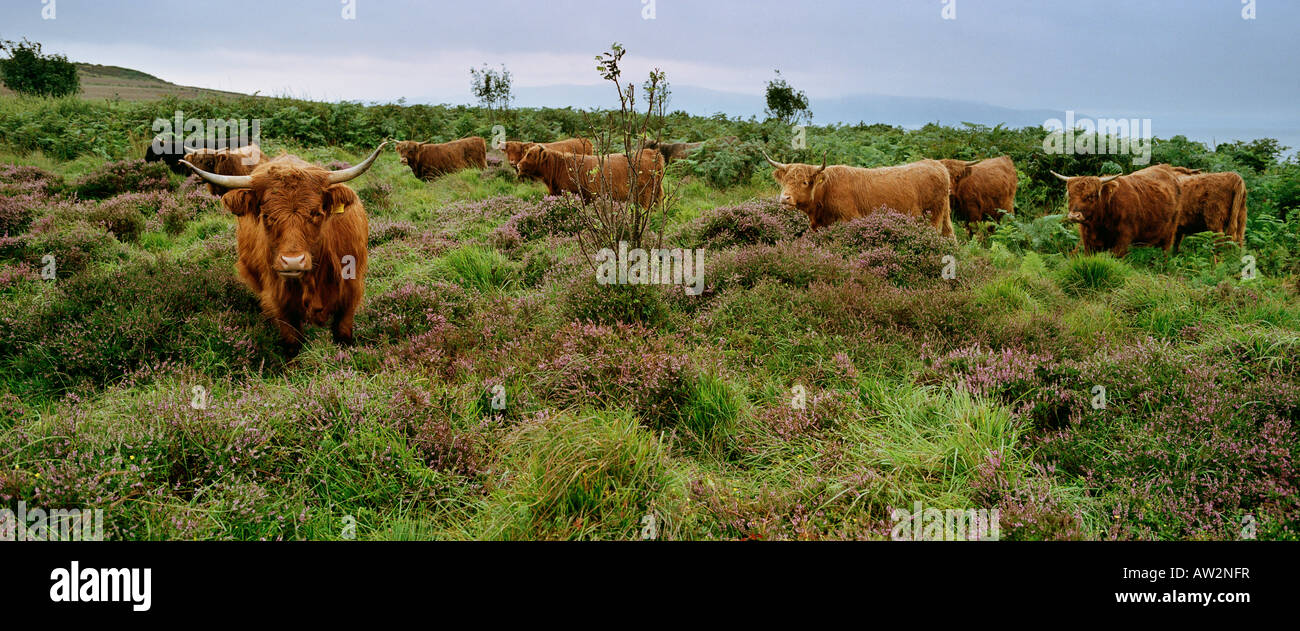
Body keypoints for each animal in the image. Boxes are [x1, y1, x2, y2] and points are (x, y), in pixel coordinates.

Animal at [180, 143, 385, 354]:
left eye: (316, 213)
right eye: (267, 216)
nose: (292, 262)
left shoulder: (350, 294)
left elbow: (343, 334)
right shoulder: (281, 302)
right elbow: (292, 342)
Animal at [765, 152, 955, 237]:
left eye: (804, 182)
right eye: (785, 181)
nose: (785, 198)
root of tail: (937, 165)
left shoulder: (851, 218)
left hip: (932, 216)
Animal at [1051, 164, 1182, 257]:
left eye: (1091, 196)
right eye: (1070, 195)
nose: (1074, 215)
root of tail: (1167, 168)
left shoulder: (1123, 240)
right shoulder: (1088, 241)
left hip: (1170, 232)